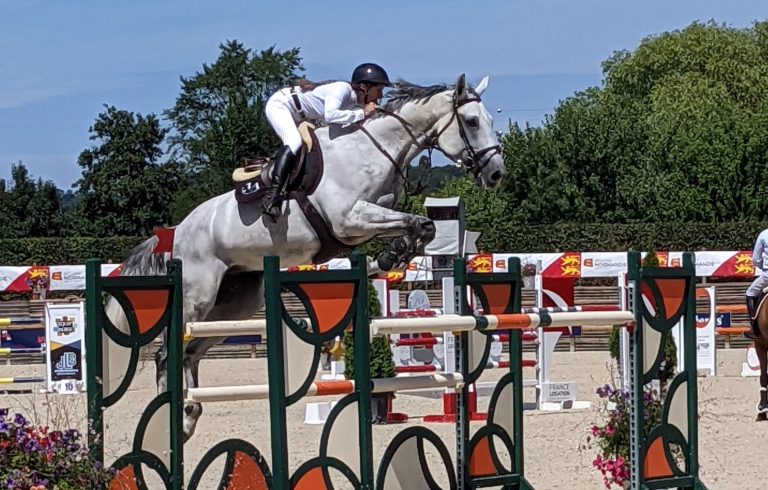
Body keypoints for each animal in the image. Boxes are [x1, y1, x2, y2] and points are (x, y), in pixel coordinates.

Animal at [105, 73, 505, 441]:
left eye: (489, 119)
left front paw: (393, 256)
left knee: (190, 353)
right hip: (197, 297)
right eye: (472, 121)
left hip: (235, 304)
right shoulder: (349, 219)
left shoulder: (365, 222)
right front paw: (393, 256)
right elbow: (417, 223)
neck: (374, 149)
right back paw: (174, 416)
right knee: (167, 354)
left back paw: (188, 414)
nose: (496, 173)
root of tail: (177, 232)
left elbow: (420, 226)